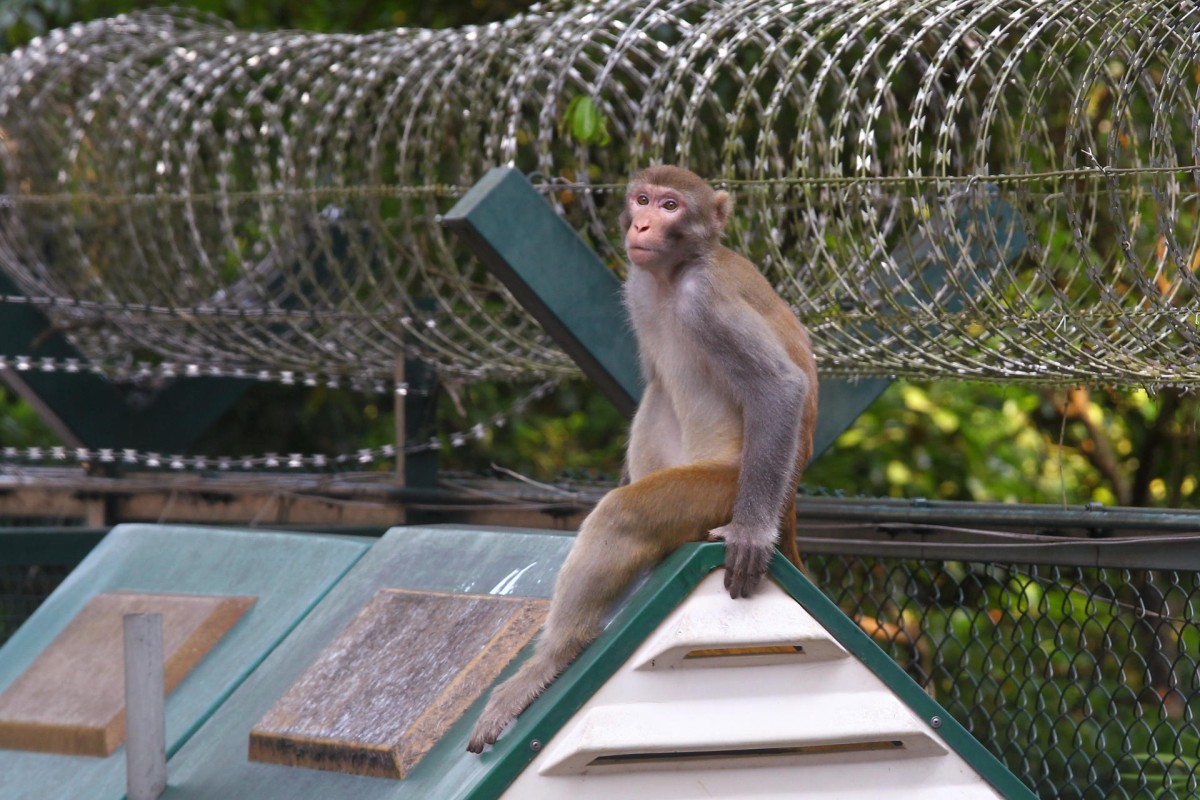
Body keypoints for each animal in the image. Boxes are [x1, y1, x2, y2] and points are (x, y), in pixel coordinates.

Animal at [466, 165, 818, 753]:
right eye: (644, 199)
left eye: (672, 206)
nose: (644, 224)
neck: (672, 276)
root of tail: (788, 502)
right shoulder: (635, 287)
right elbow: (652, 383)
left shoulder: (705, 301)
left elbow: (779, 388)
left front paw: (749, 535)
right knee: (656, 398)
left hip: (723, 486)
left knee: (625, 514)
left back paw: (553, 659)